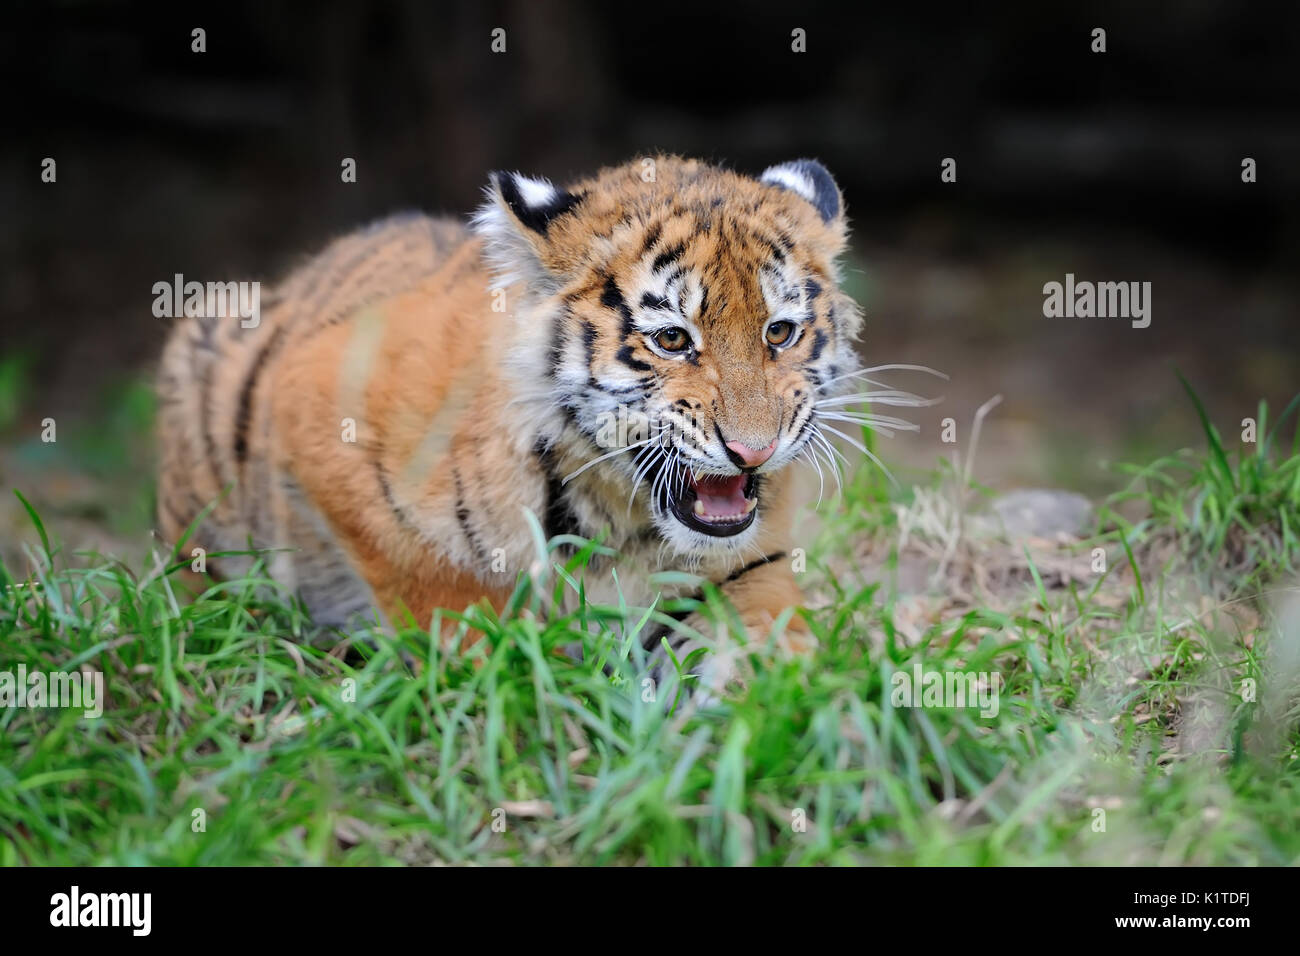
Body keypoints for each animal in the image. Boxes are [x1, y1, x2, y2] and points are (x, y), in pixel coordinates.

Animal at [156, 155, 865, 696]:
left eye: (779, 332)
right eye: (670, 338)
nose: (754, 451)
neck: (625, 522)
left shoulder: (753, 561)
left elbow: (767, 628)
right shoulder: (319, 407)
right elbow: (442, 589)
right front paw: (515, 672)